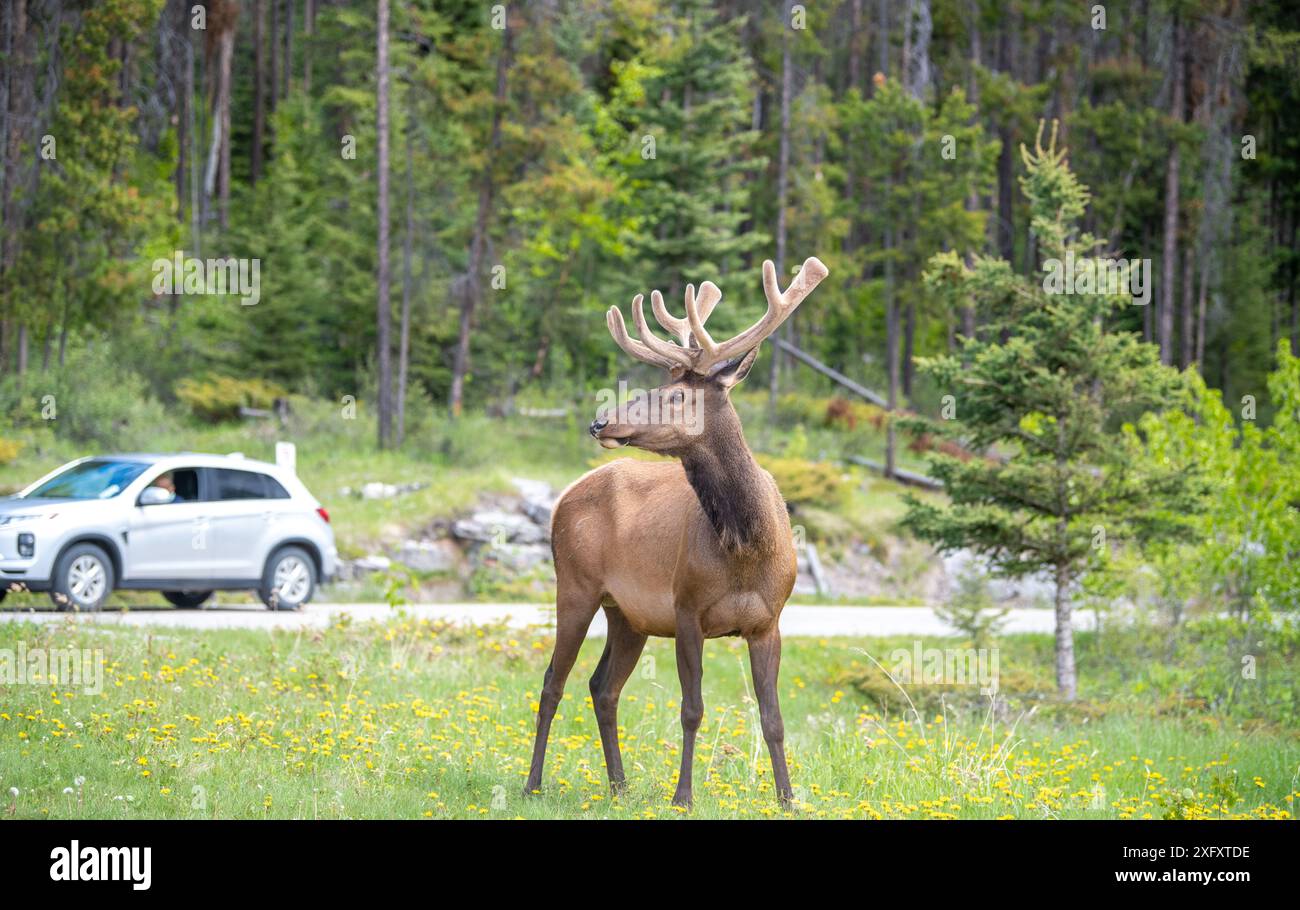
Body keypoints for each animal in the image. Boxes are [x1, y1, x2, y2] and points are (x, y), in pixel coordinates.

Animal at [524, 255, 829, 809]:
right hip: (574, 585)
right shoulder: (687, 609)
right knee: (553, 680)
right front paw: (683, 795)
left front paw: (788, 798)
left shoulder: (769, 621)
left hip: (628, 614)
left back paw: (619, 785)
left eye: (678, 394)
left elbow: (773, 718)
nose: (600, 422)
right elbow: (692, 708)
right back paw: (533, 783)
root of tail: (563, 497)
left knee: (602, 686)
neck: (745, 551)